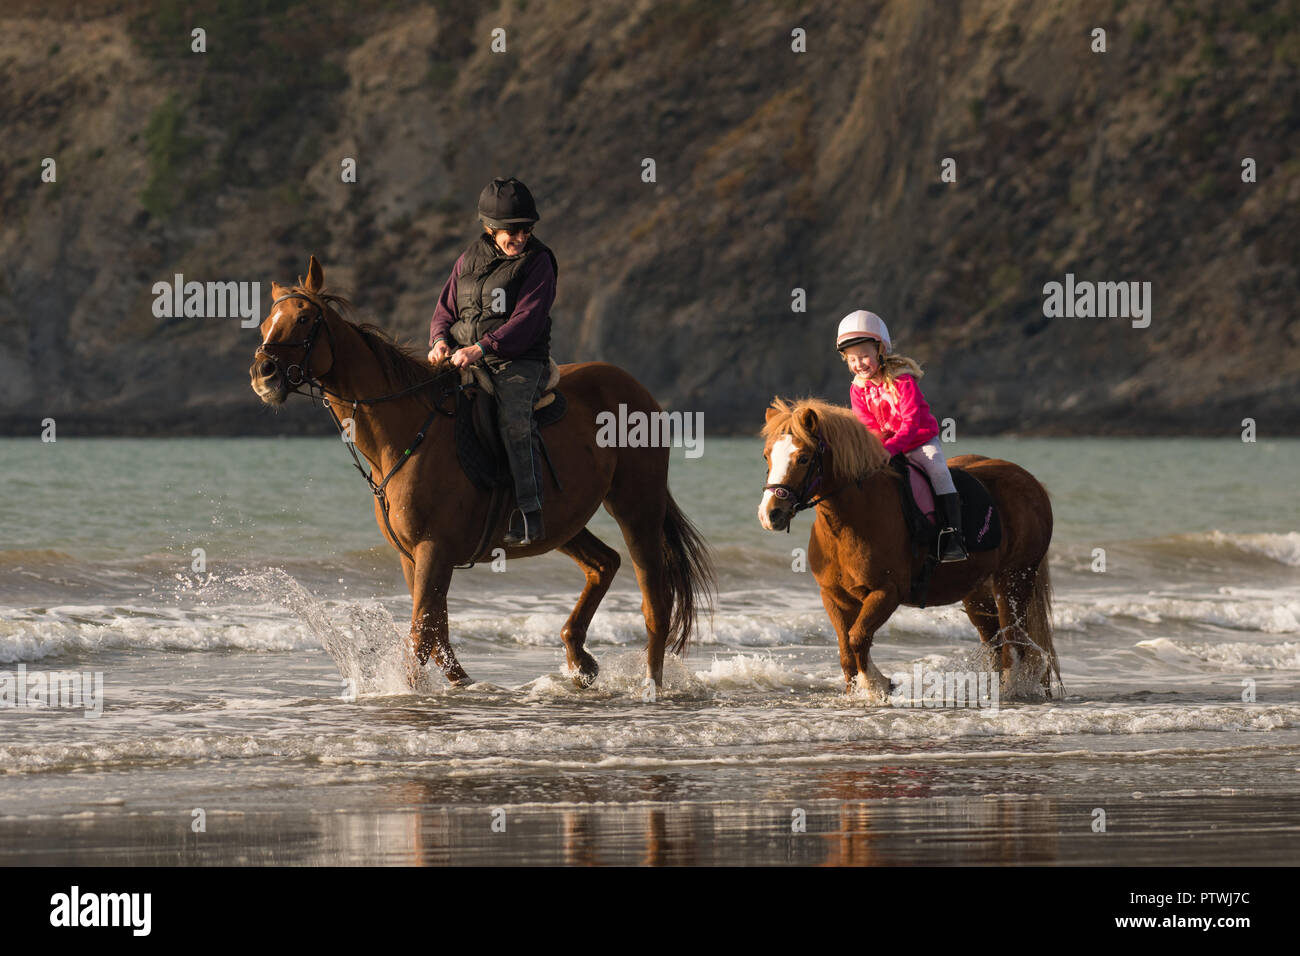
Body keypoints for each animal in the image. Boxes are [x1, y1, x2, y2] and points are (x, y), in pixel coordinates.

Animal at [249, 256, 715, 690]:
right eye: (267, 324)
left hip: (637, 507)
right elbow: (437, 635)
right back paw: (580, 659)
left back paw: (650, 686)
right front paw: (464, 686)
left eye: (304, 319)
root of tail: (638, 390)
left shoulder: (434, 550)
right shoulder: (413, 557)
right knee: (604, 564)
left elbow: (422, 637)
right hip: (562, 523)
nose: (262, 374)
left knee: (655, 601)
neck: (407, 434)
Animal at [757, 396, 1061, 699]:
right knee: (996, 640)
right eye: (766, 456)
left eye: (803, 457)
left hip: (1014, 579)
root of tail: (1031, 482)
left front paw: (876, 684)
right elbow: (846, 651)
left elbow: (858, 638)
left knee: (1014, 641)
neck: (851, 520)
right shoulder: (834, 596)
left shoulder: (887, 591)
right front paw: (862, 690)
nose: (770, 514)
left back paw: (1011, 690)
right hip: (977, 591)